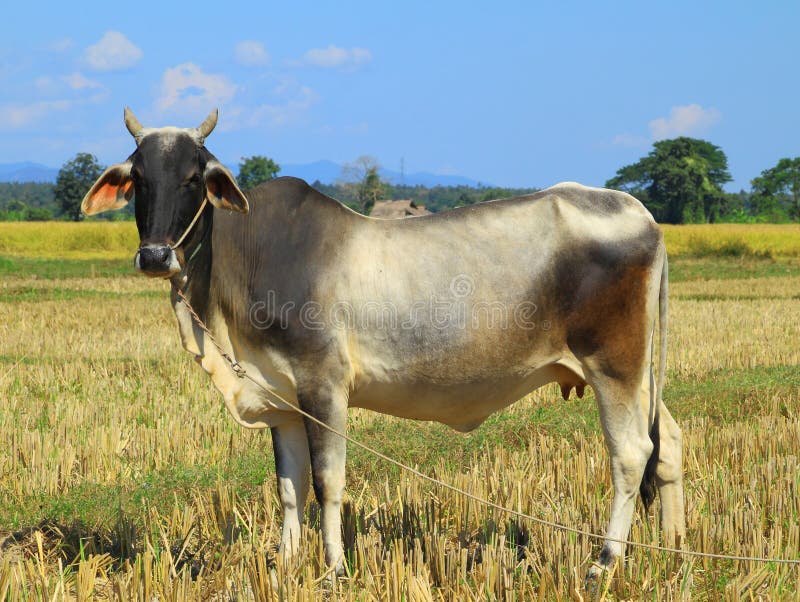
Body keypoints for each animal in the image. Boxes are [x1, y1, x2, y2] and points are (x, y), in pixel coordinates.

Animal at [82, 108, 685, 584]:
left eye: (194, 177)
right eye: (137, 178)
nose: (156, 256)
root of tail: (642, 214)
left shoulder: (323, 386)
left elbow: (327, 482)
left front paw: (333, 569)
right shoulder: (282, 399)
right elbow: (289, 487)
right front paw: (283, 564)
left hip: (613, 366)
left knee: (631, 453)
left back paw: (604, 562)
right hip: (639, 375)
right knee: (669, 442)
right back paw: (674, 550)